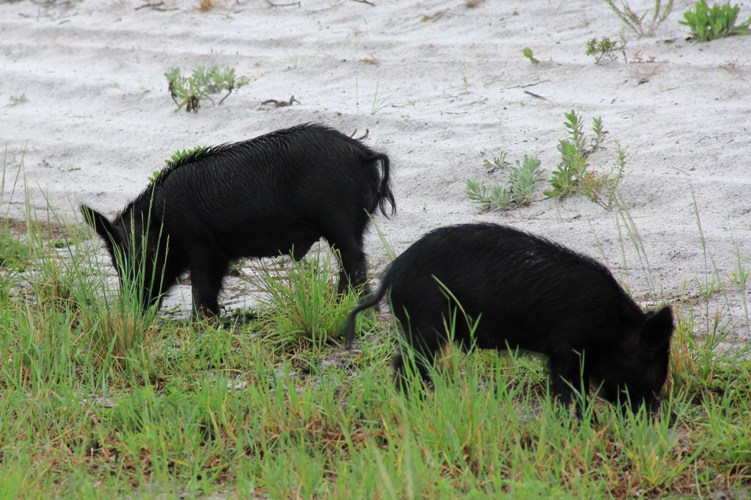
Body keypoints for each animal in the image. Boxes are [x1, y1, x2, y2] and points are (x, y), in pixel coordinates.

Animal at [81, 123, 396, 316]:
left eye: (132, 258)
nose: (132, 310)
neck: (159, 221)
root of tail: (363, 154)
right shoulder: (219, 252)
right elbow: (212, 286)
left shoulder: (199, 245)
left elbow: (201, 285)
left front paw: (199, 320)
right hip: (356, 223)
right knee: (351, 261)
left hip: (336, 219)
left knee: (354, 260)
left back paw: (349, 305)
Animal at [344, 223, 674, 414]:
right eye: (651, 362)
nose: (654, 414)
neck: (615, 325)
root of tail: (392, 274)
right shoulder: (568, 346)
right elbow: (568, 390)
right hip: (428, 325)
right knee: (405, 364)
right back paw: (418, 404)